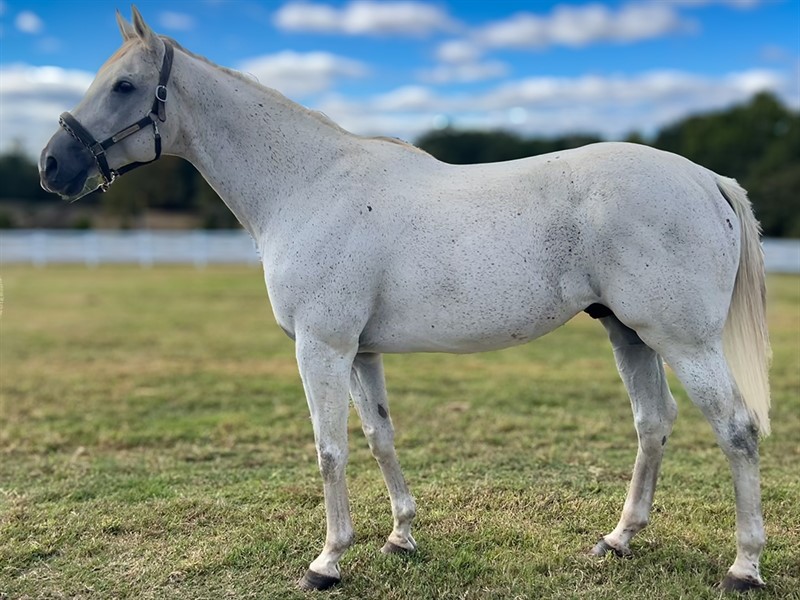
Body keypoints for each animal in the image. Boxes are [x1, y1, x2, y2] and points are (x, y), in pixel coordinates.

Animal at [39, 7, 771, 593]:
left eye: (125, 85)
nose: (51, 166)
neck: (307, 184)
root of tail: (707, 179)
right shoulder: (360, 353)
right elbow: (379, 437)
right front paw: (401, 537)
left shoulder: (322, 348)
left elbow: (329, 449)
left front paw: (327, 563)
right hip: (628, 333)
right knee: (653, 423)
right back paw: (618, 540)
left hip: (683, 340)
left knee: (736, 429)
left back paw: (744, 567)